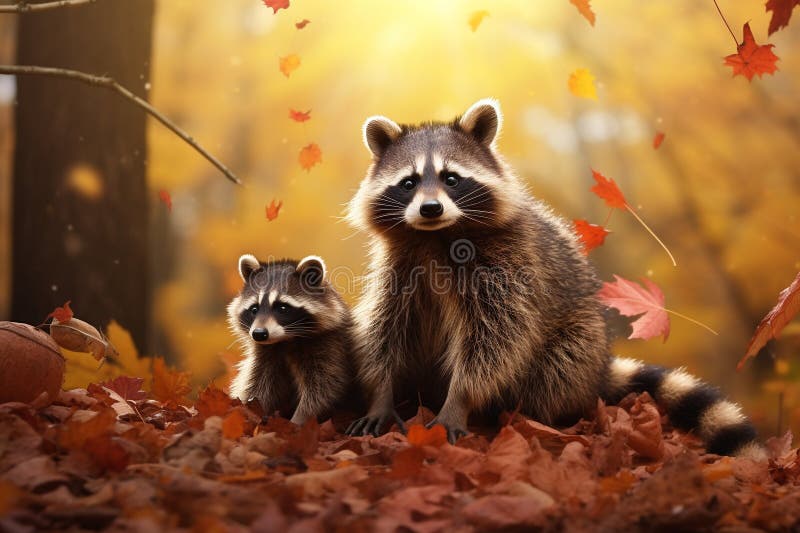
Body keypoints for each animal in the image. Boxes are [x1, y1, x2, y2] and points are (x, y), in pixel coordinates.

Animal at [227, 254, 352, 425]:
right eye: (254, 309)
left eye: (283, 308)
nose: (259, 333)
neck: (285, 340)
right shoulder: (265, 356)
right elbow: (257, 385)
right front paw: (251, 411)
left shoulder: (330, 346)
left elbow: (325, 388)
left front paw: (299, 419)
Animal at [344, 98, 762, 458]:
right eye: (409, 182)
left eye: (451, 178)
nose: (430, 209)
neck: (436, 235)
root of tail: (597, 370)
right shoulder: (398, 268)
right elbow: (385, 328)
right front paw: (382, 394)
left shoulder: (507, 266)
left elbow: (496, 339)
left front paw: (458, 400)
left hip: (580, 340)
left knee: (556, 366)